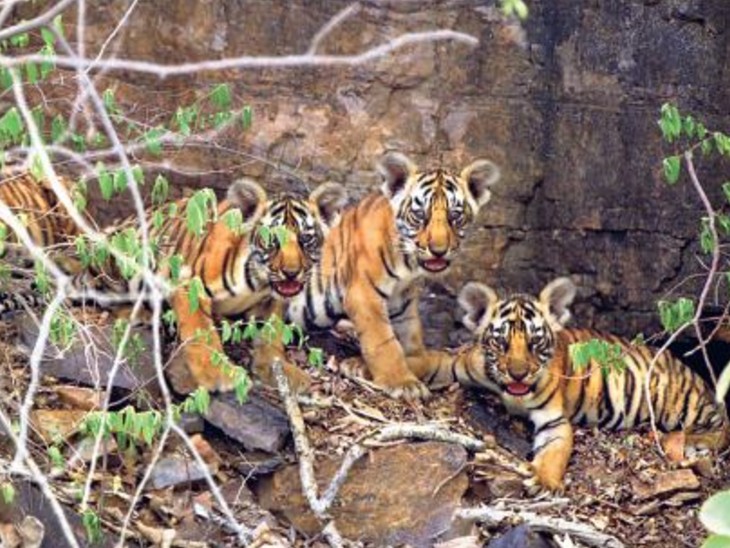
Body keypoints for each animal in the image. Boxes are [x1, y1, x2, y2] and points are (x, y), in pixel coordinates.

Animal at [286, 151, 501, 399]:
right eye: (419, 215)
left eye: (455, 216)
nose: (438, 250)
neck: (408, 266)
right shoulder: (364, 295)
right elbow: (384, 342)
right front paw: (402, 382)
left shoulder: (402, 304)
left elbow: (412, 345)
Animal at [411, 276, 730, 491]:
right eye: (501, 343)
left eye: (534, 342)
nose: (518, 374)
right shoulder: (464, 364)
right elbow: (435, 360)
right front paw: (405, 375)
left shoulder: (554, 421)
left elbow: (554, 452)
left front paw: (543, 480)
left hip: (677, 403)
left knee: (722, 427)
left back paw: (694, 441)